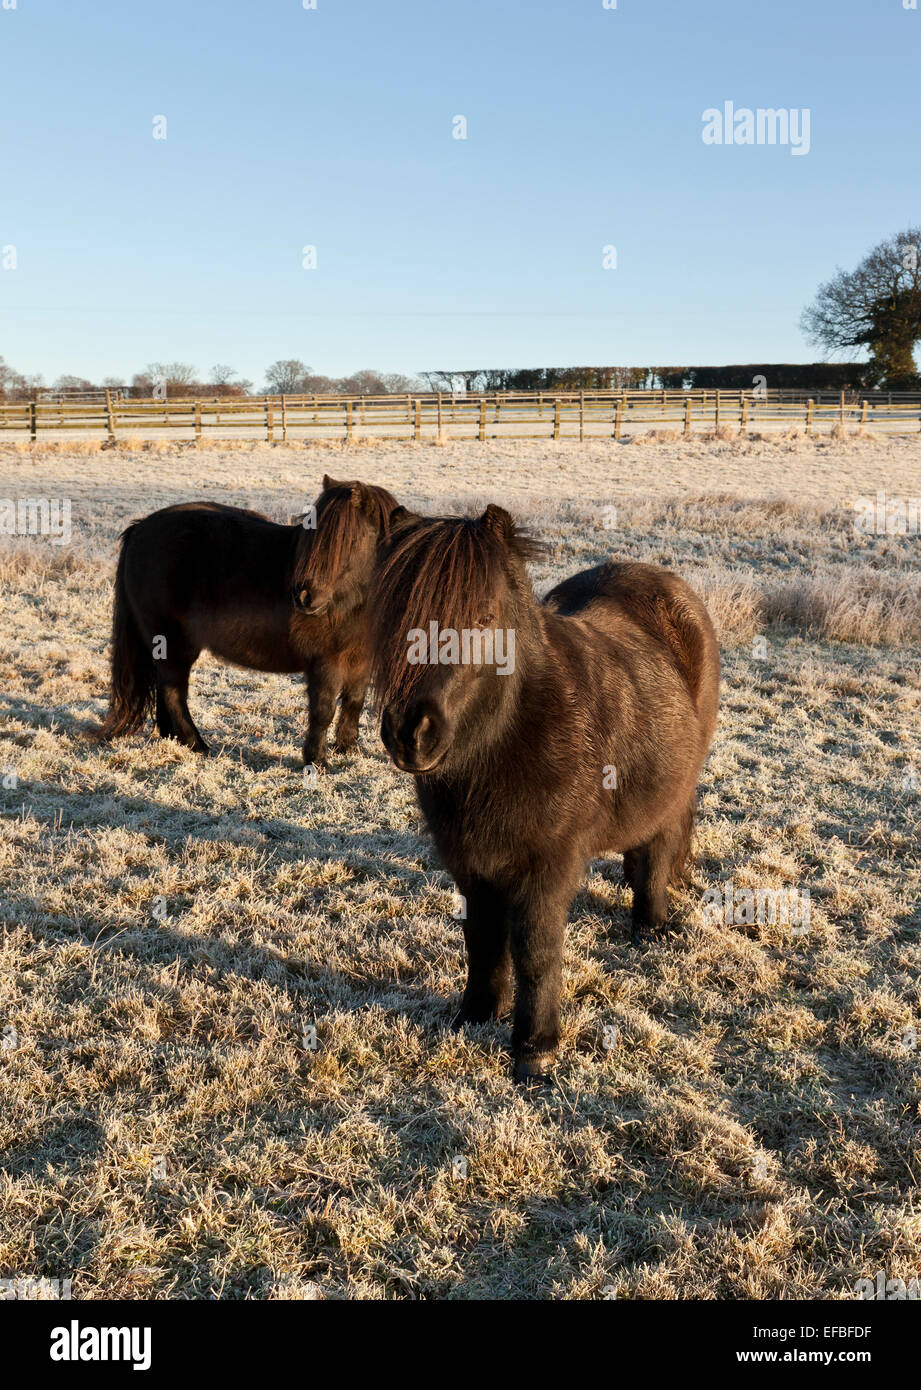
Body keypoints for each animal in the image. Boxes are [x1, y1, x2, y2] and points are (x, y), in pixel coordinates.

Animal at [95, 476, 398, 765]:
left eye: (350, 541)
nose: (303, 596)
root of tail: (140, 528)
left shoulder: (360, 661)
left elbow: (354, 702)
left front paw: (348, 749)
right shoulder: (326, 663)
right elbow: (324, 710)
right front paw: (318, 760)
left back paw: (175, 738)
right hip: (173, 644)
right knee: (173, 692)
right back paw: (197, 744)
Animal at [369, 503, 720, 1082]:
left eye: (485, 617)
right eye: (392, 614)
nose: (409, 733)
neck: (509, 733)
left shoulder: (547, 867)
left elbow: (535, 948)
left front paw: (536, 1050)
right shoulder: (472, 862)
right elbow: (482, 939)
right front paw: (475, 1015)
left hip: (679, 783)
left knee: (661, 844)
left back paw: (650, 925)